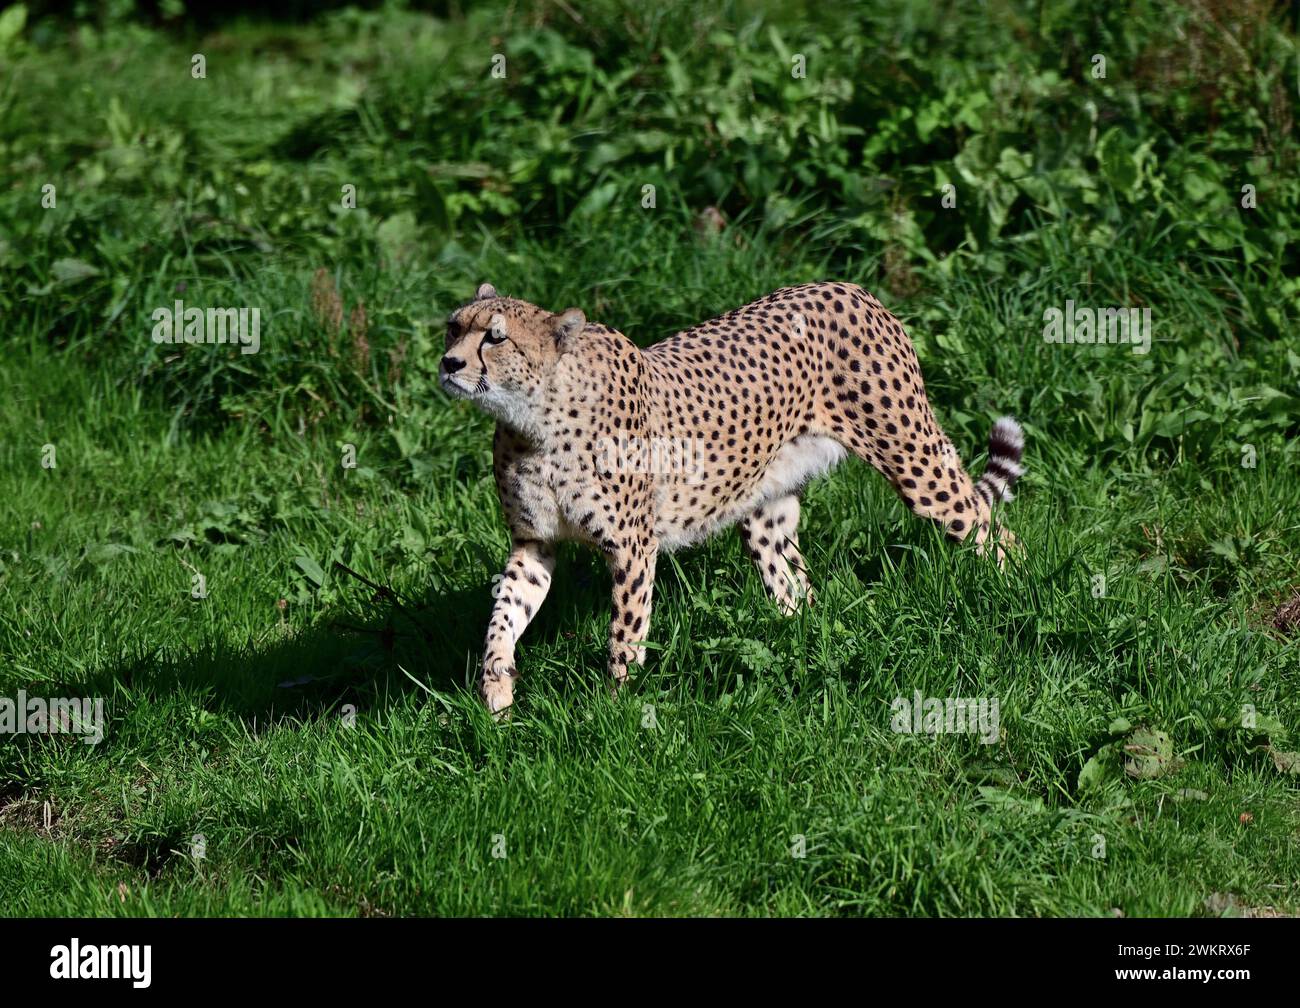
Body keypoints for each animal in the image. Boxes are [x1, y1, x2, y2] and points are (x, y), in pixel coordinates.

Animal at [440, 281, 1025, 713]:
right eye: (454, 327)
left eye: (495, 338)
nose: (449, 363)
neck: (532, 421)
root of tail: (848, 286)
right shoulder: (532, 544)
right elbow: (504, 615)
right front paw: (496, 694)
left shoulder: (633, 547)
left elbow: (626, 631)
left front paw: (616, 704)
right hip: (765, 509)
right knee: (794, 587)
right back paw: (800, 641)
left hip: (913, 460)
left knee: (986, 522)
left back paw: (1017, 592)